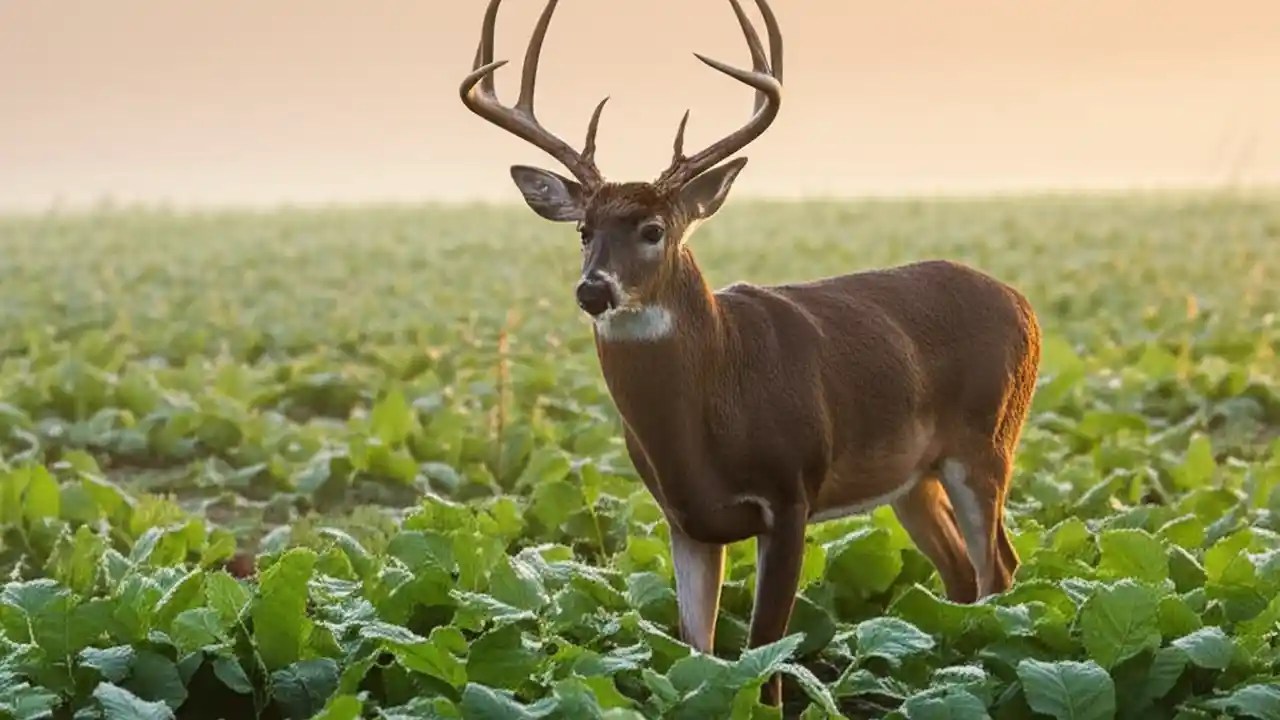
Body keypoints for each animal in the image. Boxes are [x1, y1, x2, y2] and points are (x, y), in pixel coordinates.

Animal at [459, 0, 1042, 707]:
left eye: (653, 229)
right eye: (583, 231)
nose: (593, 289)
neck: (709, 418)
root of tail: (1023, 303)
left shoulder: (791, 493)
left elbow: (766, 656)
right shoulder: (683, 519)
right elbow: (697, 649)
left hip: (987, 441)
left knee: (999, 569)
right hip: (911, 475)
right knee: (960, 572)